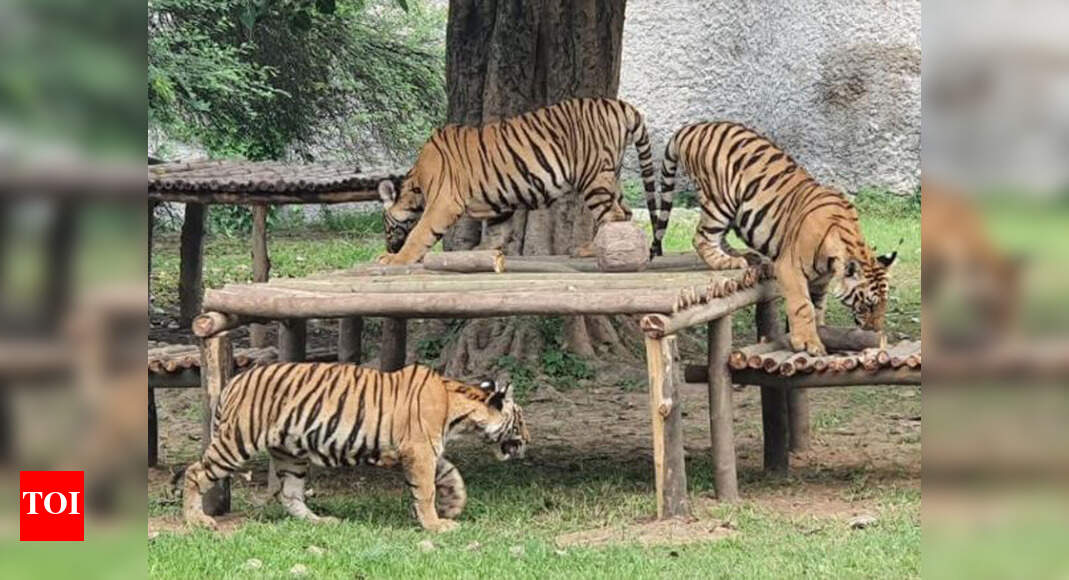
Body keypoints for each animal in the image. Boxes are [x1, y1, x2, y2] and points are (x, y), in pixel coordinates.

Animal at [182, 362, 529, 533]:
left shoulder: (426, 450)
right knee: (194, 472)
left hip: (290, 454)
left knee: (290, 494)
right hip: (237, 441)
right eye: (521, 421)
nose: (527, 442)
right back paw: (196, 520)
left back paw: (320, 522)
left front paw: (454, 505)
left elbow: (450, 475)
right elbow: (426, 490)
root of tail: (233, 381)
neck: (458, 407)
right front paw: (436, 526)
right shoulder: (419, 451)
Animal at [376, 97, 658, 264]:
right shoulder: (499, 203)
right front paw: (481, 253)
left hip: (594, 177)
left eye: (386, 224)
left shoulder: (443, 203)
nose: (390, 247)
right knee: (626, 213)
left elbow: (420, 232)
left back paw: (588, 250)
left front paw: (395, 260)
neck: (418, 184)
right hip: (611, 176)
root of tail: (619, 104)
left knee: (612, 215)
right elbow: (497, 232)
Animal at [650, 121, 897, 355]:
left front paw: (821, 333)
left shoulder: (820, 281)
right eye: (867, 305)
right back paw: (728, 261)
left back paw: (741, 255)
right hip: (720, 200)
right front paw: (808, 343)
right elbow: (803, 306)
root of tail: (691, 127)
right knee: (701, 237)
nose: (876, 331)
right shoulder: (790, 268)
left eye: (884, 304)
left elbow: (817, 308)